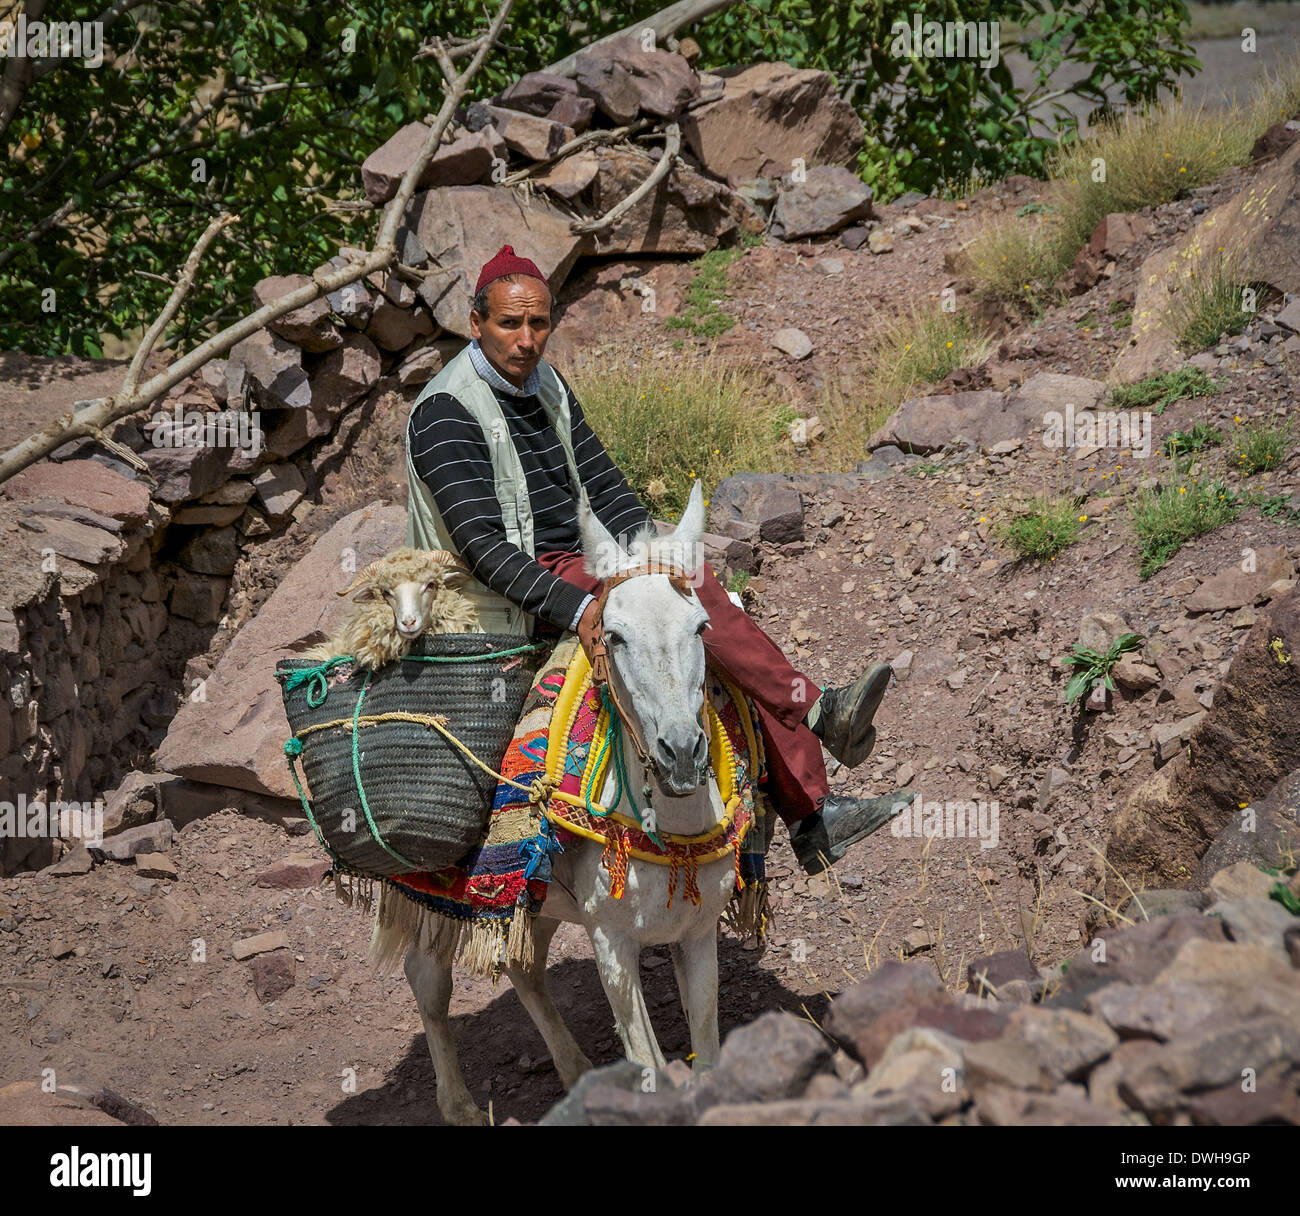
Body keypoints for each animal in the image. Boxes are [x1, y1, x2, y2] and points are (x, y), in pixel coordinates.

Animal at [372, 479, 750, 1125]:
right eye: (614, 636)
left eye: (702, 627)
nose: (681, 752)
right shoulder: (611, 942)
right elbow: (648, 1064)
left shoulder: (697, 935)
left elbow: (706, 1045)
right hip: (436, 900)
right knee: (428, 982)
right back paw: (461, 1107)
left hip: (534, 902)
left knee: (523, 968)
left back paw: (575, 1071)